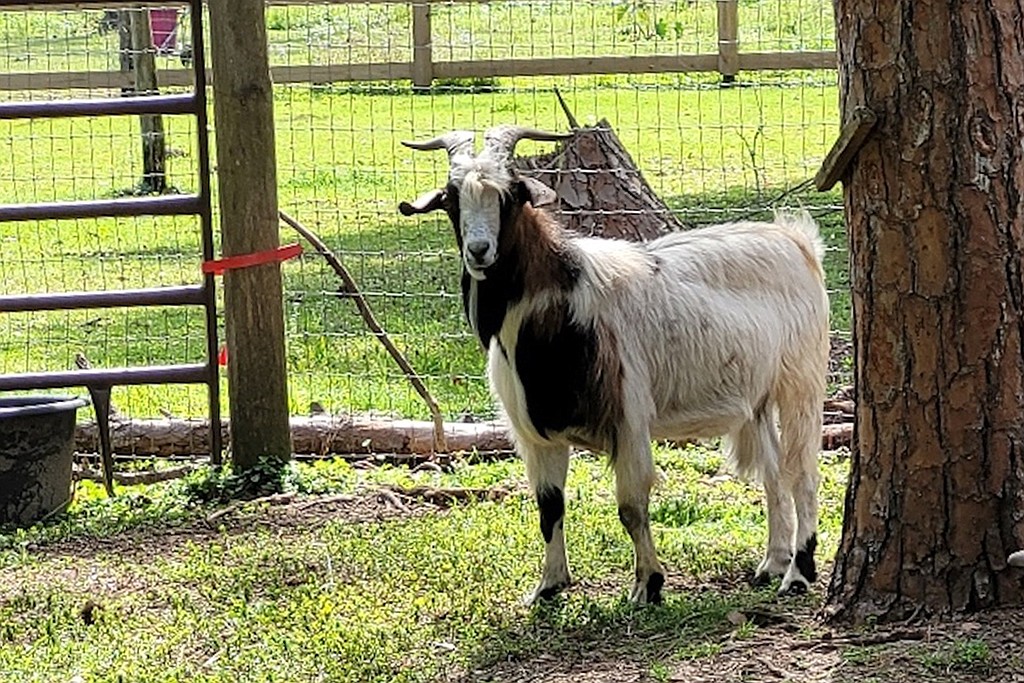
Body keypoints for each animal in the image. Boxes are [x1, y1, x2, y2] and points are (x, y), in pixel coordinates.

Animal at [399, 125, 830, 604]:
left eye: (510, 195)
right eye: (452, 198)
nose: (479, 251)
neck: (560, 305)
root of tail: (795, 239)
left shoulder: (628, 418)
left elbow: (631, 506)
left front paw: (648, 585)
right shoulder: (536, 434)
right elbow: (549, 507)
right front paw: (548, 586)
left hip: (801, 382)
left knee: (802, 474)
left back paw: (799, 572)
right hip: (755, 400)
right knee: (774, 475)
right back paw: (773, 562)